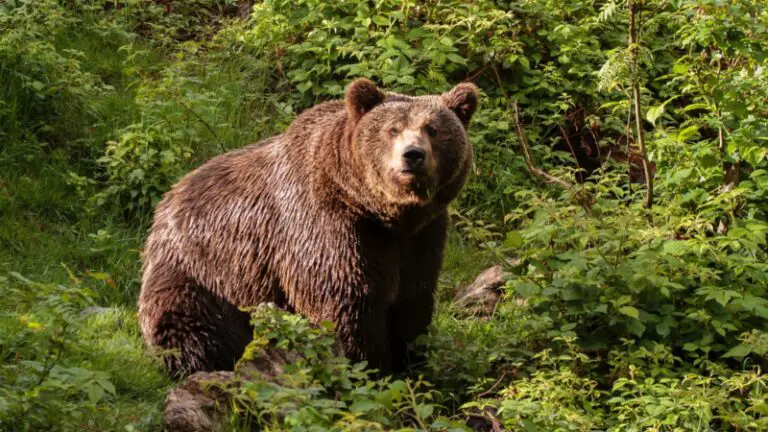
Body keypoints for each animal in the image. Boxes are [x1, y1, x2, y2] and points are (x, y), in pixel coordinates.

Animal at [138, 79, 479, 377]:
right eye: (391, 129)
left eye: (433, 129)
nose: (413, 156)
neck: (383, 213)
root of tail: (167, 199)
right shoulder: (327, 226)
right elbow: (344, 303)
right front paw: (369, 367)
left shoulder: (422, 236)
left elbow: (412, 302)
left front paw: (411, 364)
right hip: (203, 274)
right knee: (187, 324)